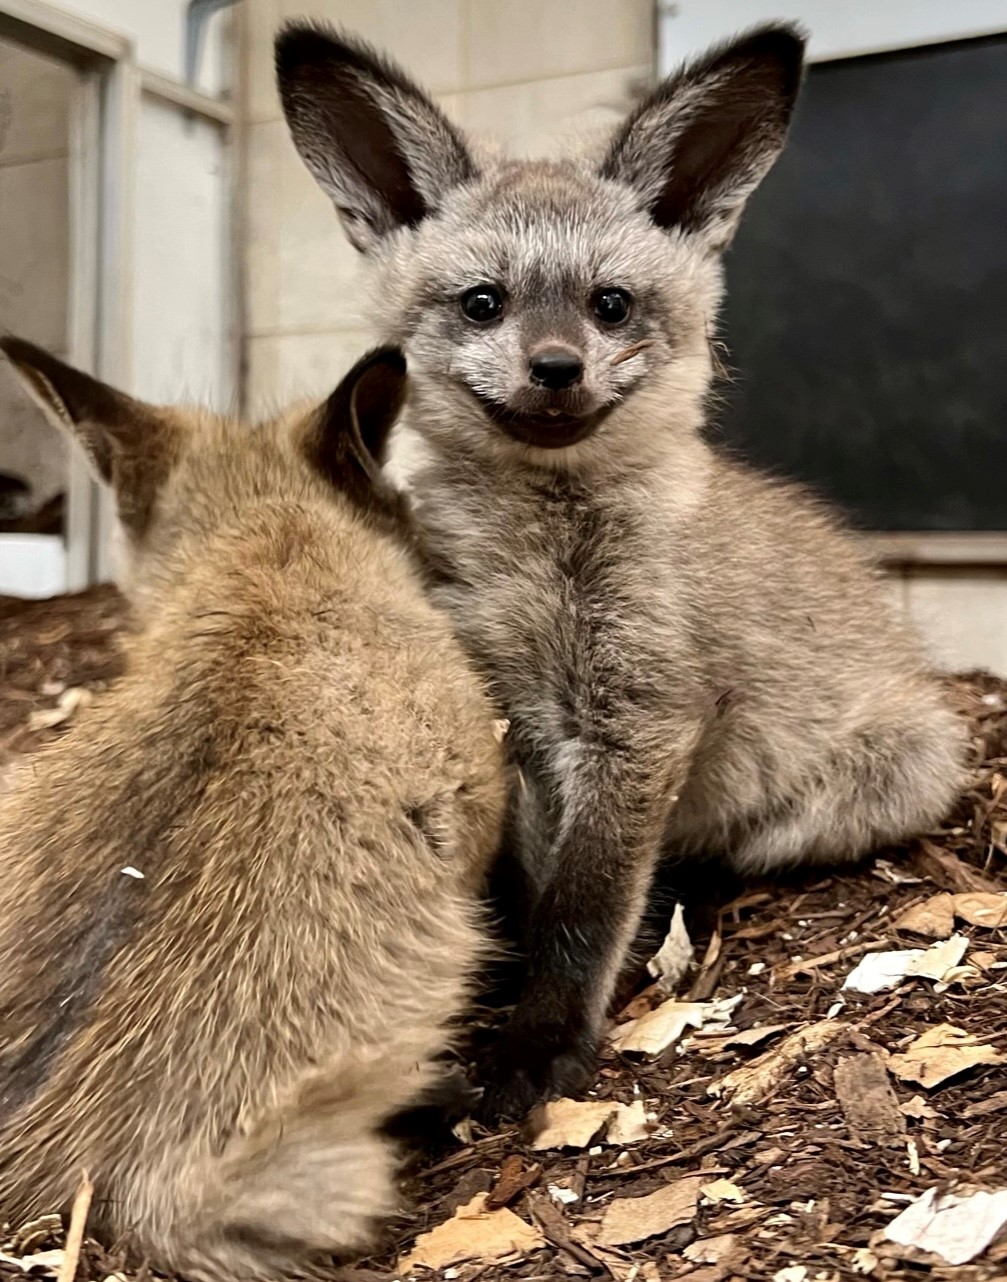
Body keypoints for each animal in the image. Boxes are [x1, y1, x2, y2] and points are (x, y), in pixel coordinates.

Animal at [275, 22, 968, 1121]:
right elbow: (527, 890)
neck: (547, 565)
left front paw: (538, 1043)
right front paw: (496, 983)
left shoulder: (640, 721)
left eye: (608, 305)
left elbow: (582, 905)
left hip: (888, 774)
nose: (556, 368)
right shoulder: (504, 715)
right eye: (483, 303)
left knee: (726, 852)